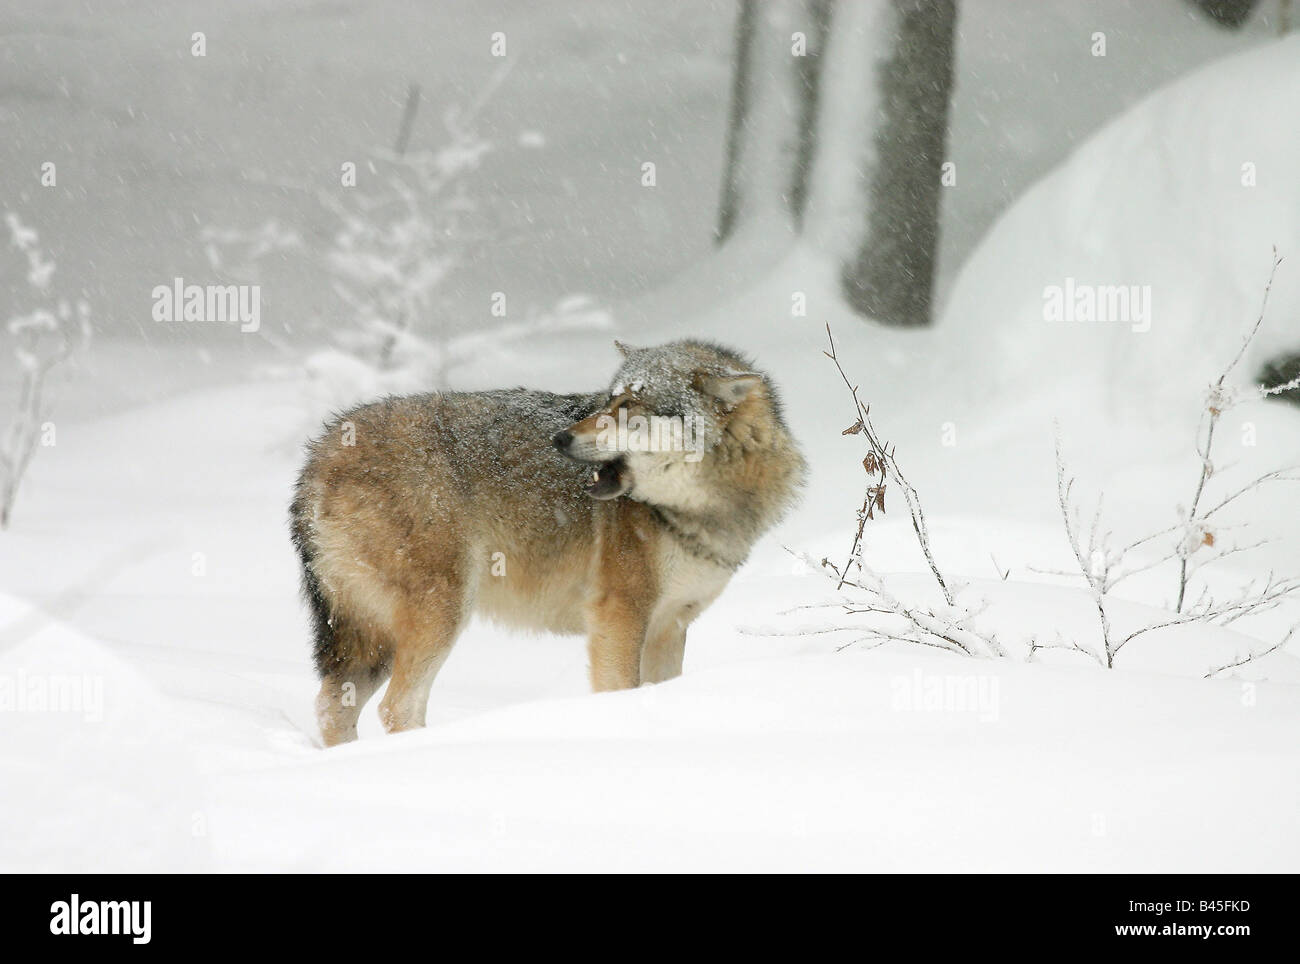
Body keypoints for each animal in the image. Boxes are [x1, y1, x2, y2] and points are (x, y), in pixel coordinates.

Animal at [290, 340, 805, 745]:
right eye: (609, 400)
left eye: (629, 408)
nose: (560, 438)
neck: (699, 510)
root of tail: (320, 454)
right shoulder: (620, 615)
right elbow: (619, 690)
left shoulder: (670, 625)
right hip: (440, 614)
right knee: (395, 708)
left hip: (370, 638)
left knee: (331, 707)